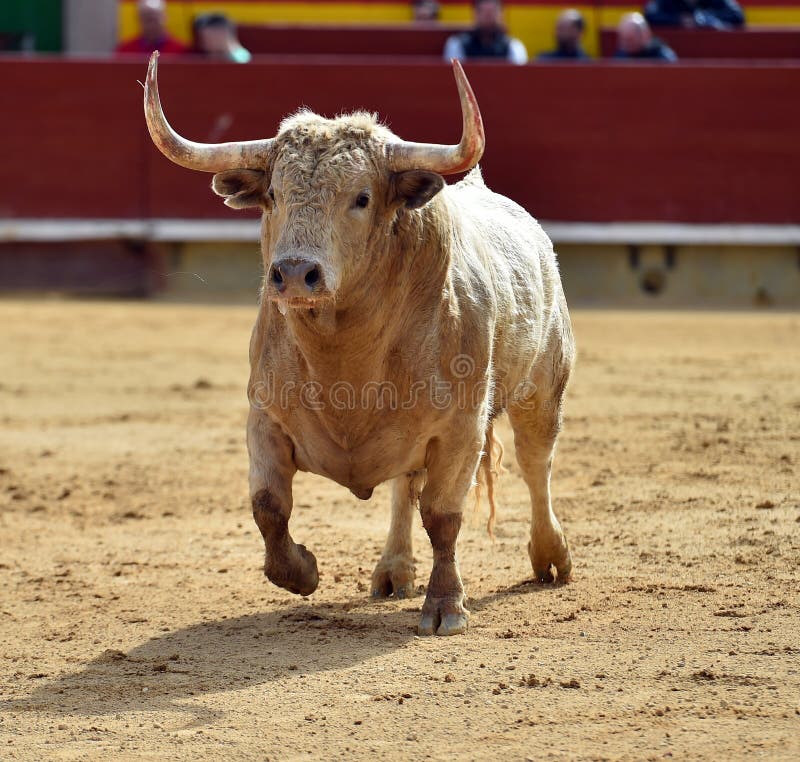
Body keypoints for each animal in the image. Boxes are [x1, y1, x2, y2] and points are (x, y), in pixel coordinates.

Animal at [144, 52, 574, 635]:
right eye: (273, 195)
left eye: (362, 198)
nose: (294, 273)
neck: (344, 355)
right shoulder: (265, 416)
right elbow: (268, 505)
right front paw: (302, 571)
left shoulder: (460, 429)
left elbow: (444, 517)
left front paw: (445, 605)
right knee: (405, 487)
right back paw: (393, 570)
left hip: (543, 388)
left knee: (535, 464)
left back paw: (551, 555)